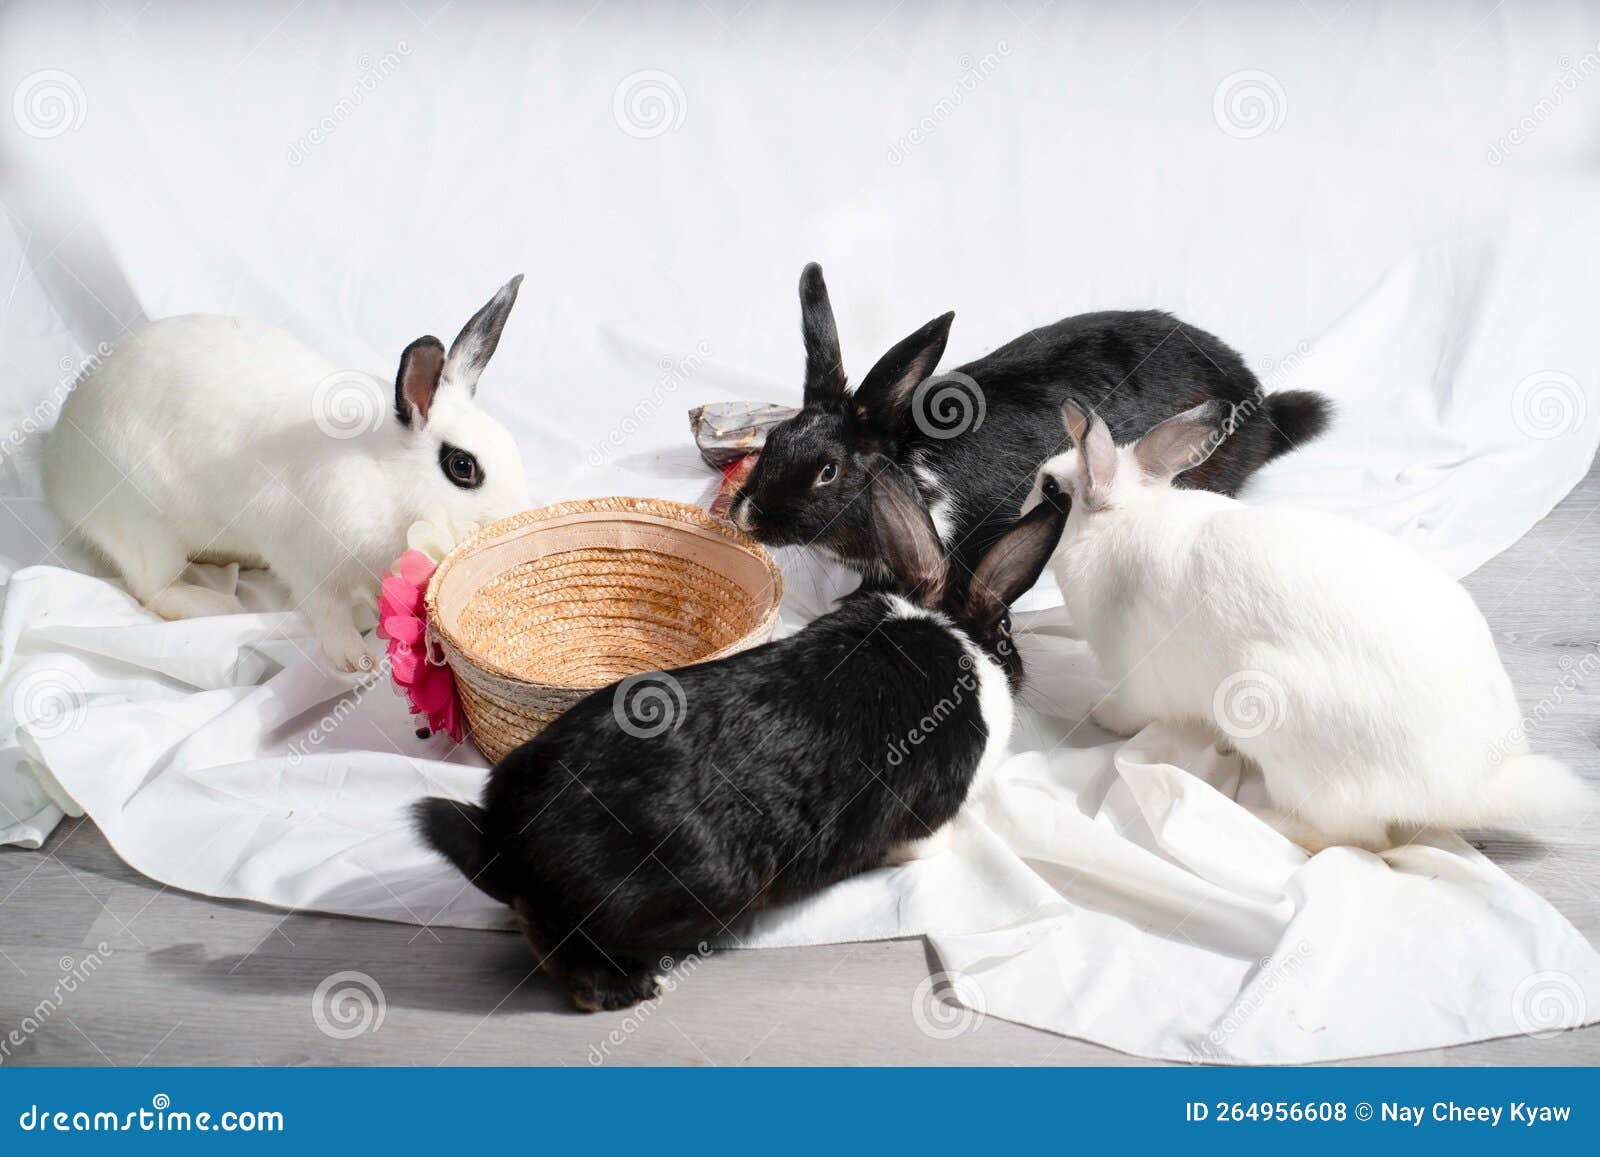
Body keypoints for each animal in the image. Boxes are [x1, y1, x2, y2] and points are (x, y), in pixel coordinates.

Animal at [43, 277, 532, 673]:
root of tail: (59, 468)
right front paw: (355, 658)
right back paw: (218, 603)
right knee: (153, 588)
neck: (385, 477)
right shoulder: (308, 560)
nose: (514, 524)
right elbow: (327, 611)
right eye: (462, 466)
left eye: (511, 444)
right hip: (145, 529)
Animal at [415, 470, 1066, 1011]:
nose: (1020, 668)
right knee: (568, 962)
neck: (946, 625)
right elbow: (922, 842)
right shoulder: (928, 814)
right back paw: (634, 988)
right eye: (1007, 631)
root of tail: (510, 842)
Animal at [1021, 399, 1593, 852]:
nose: (1022, 504)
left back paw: (1261, 817)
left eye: (1050, 488)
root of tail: (1467, 784)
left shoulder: (1135, 679)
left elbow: (1129, 712)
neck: (1122, 522)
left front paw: (1098, 714)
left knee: (1358, 839)